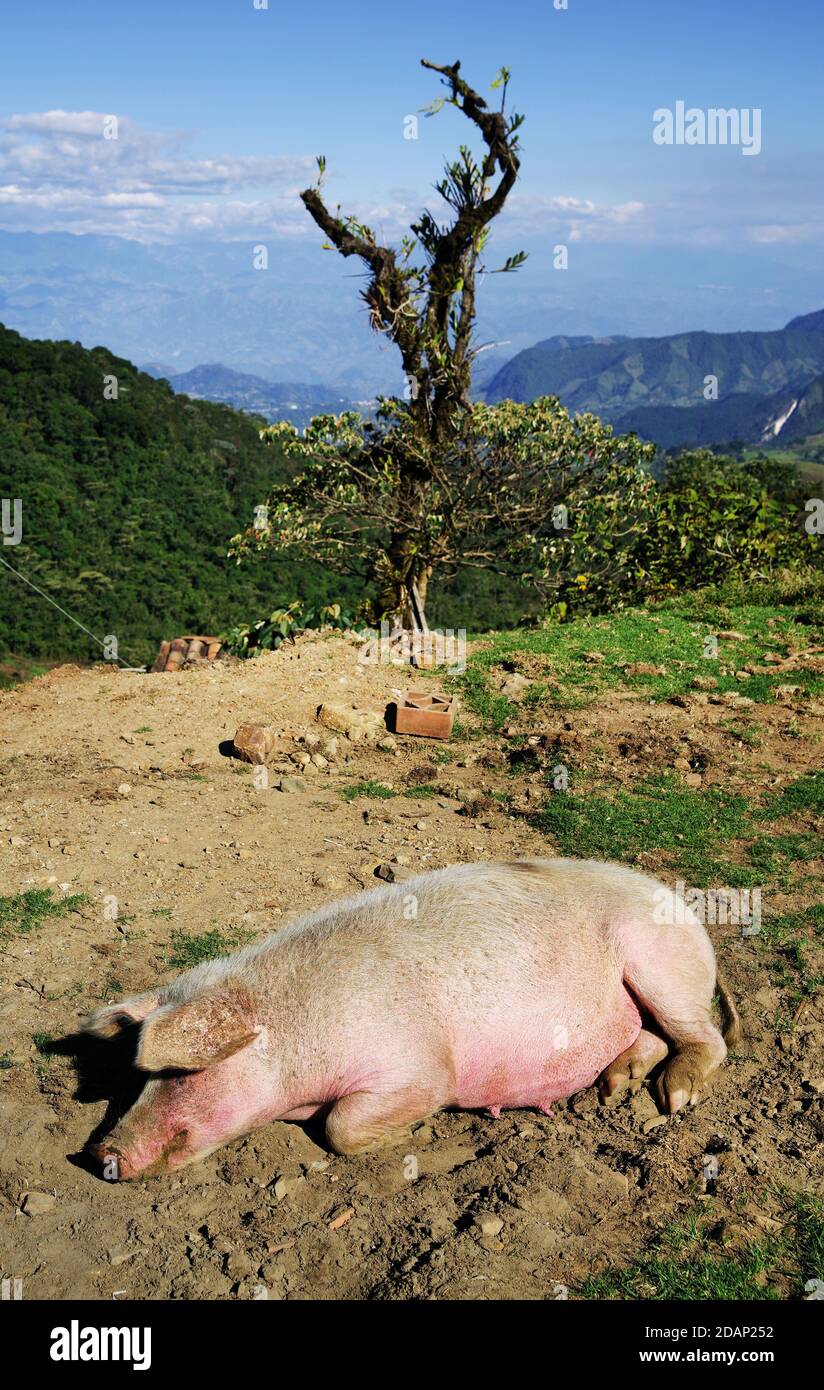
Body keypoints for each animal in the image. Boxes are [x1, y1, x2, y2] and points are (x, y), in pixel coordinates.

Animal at [81, 858, 740, 1179]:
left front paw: (410, 1135)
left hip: (657, 965)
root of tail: (690, 917)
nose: (99, 1153)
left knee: (706, 1037)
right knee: (649, 1037)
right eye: (139, 1078)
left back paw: (671, 1098)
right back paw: (613, 1087)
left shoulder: (418, 1067)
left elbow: (341, 1127)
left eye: (183, 1073)